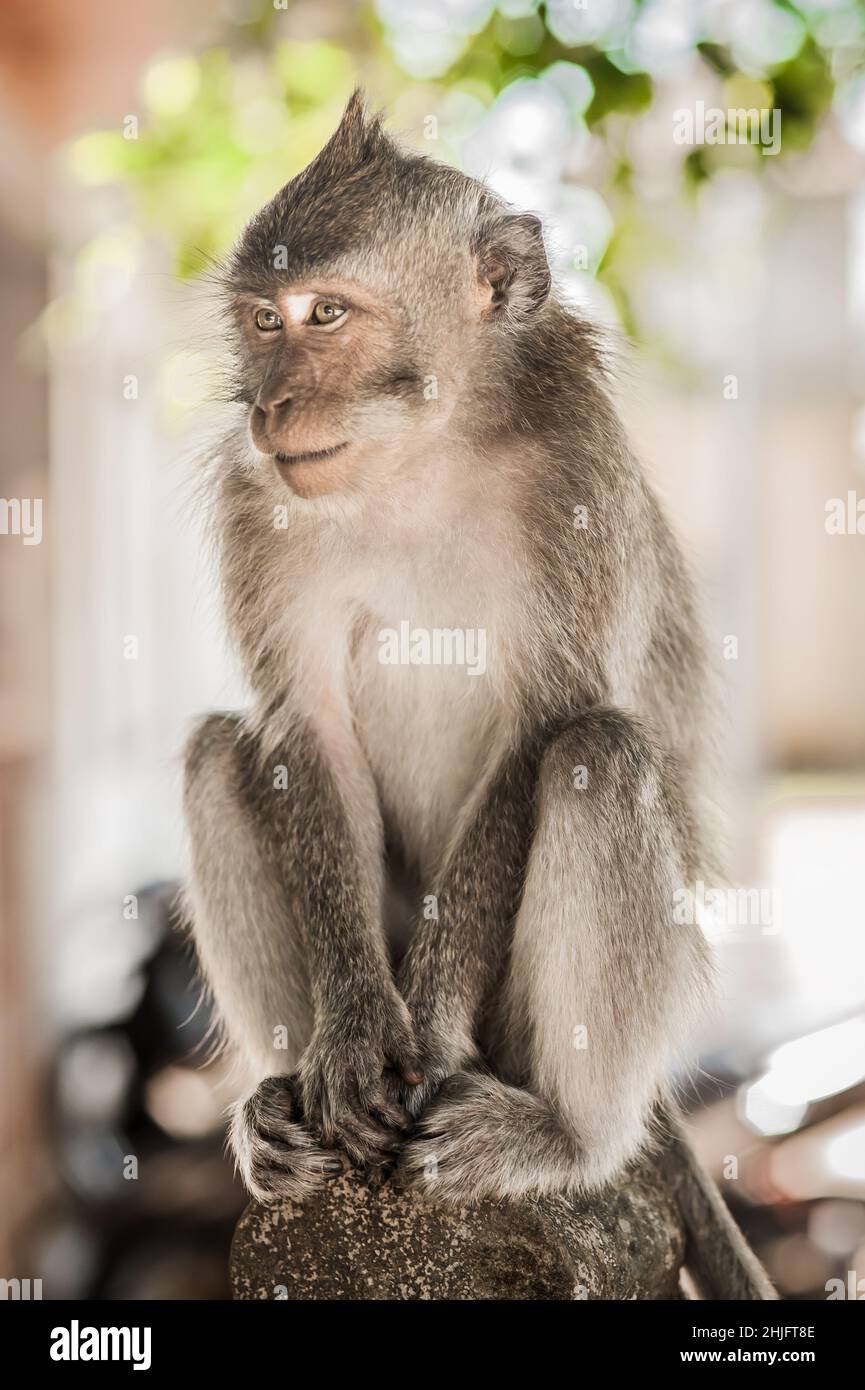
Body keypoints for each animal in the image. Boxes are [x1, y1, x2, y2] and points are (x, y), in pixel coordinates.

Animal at [182, 91, 774, 1298]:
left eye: (325, 313)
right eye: (263, 320)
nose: (270, 406)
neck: (422, 450)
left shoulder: (577, 477)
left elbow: (545, 725)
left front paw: (434, 1032)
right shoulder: (258, 505)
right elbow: (302, 733)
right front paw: (354, 1034)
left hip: (540, 1035)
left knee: (599, 755)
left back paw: (567, 1136)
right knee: (222, 749)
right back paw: (275, 1113)